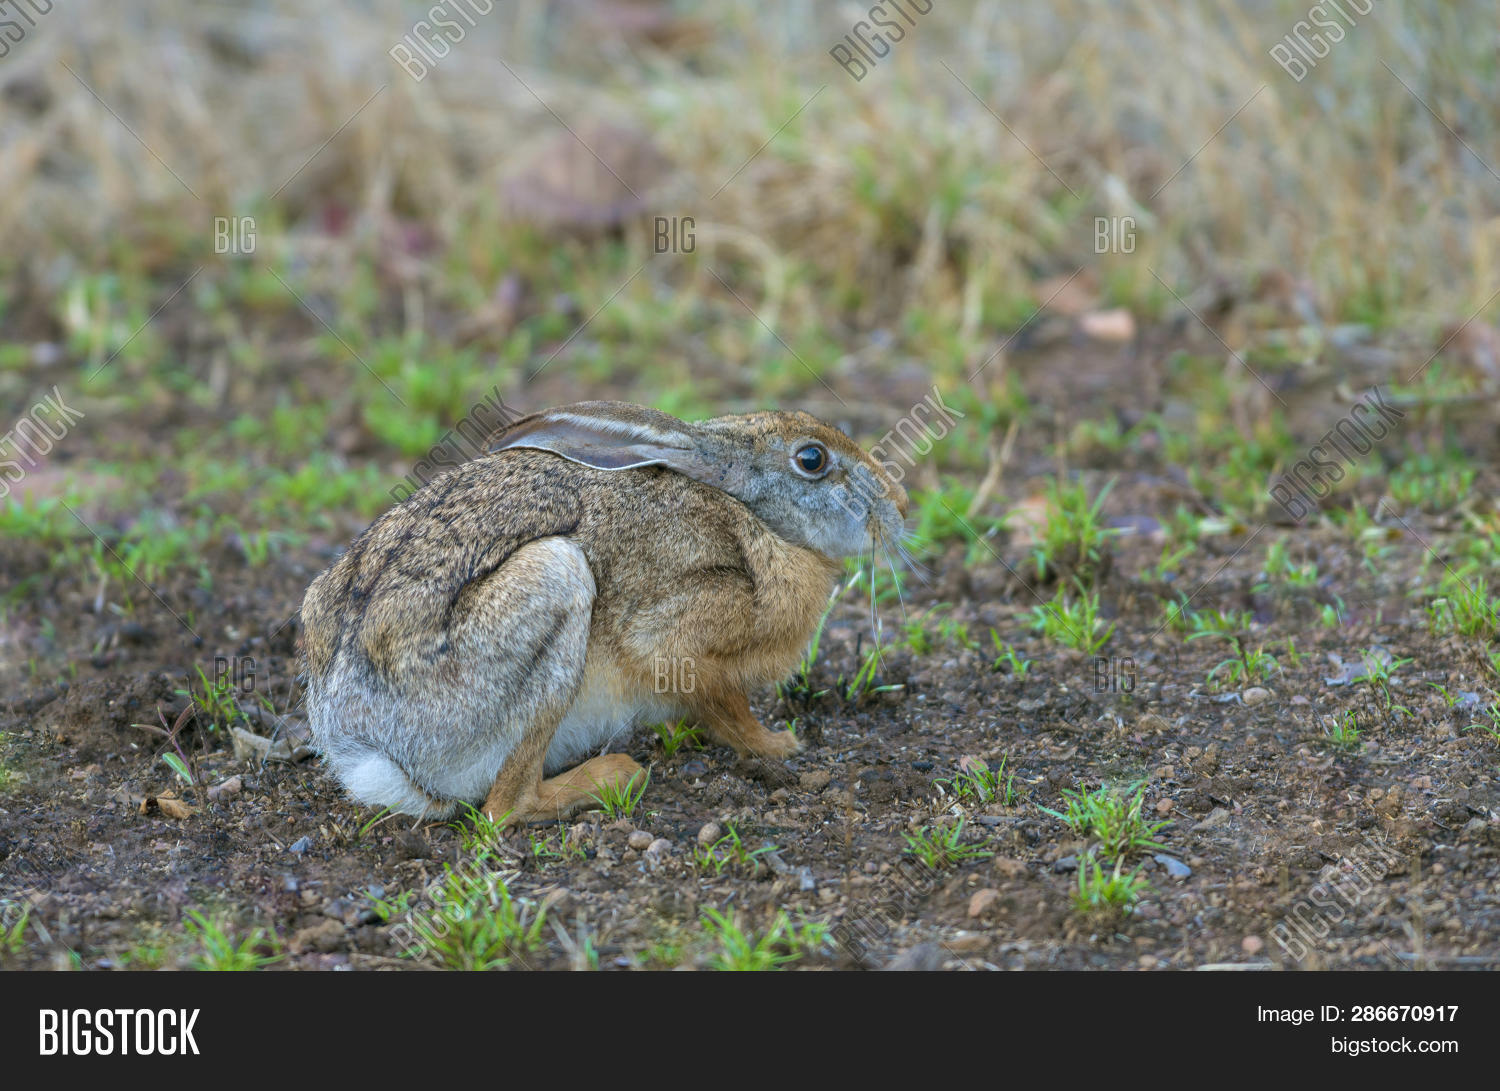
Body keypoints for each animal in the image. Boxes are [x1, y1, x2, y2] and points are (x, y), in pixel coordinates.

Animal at [299, 400, 908, 825]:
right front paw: (778, 745)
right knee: (504, 807)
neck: (751, 515)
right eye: (812, 459)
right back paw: (613, 775)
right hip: (553, 582)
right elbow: (725, 708)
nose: (900, 506)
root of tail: (363, 743)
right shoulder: (676, 640)